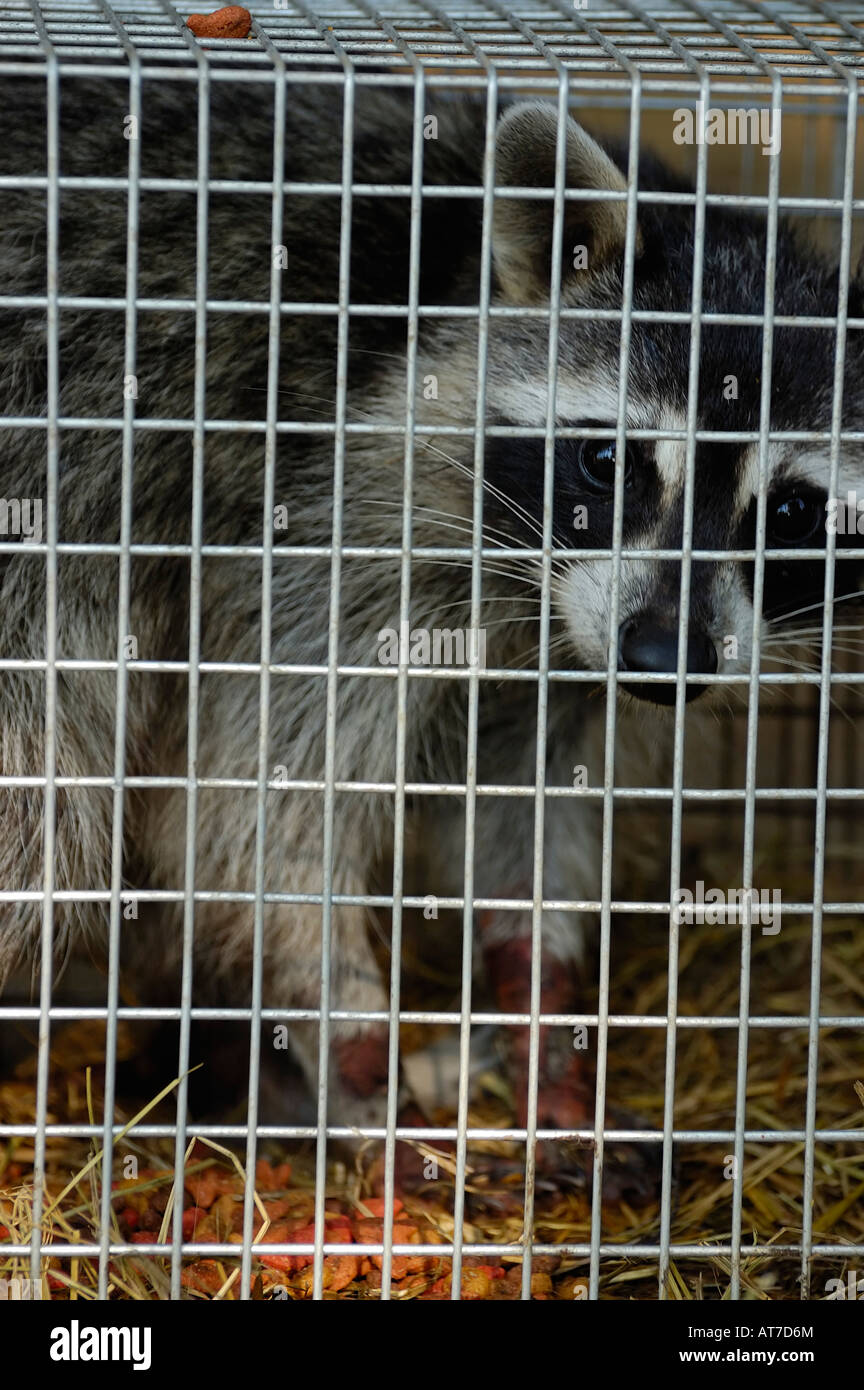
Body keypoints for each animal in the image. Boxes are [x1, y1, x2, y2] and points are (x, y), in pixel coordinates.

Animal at [0, 78, 861, 1181]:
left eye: (792, 513)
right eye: (613, 465)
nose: (663, 661)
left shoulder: (574, 646)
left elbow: (525, 798)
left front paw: (538, 1000)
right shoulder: (335, 510)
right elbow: (262, 791)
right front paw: (348, 1030)